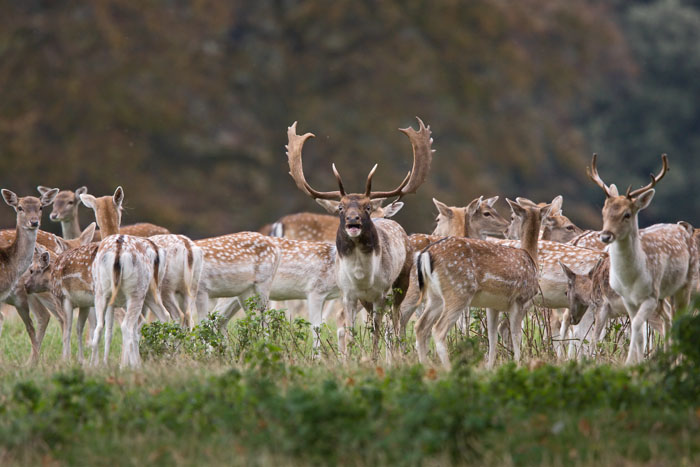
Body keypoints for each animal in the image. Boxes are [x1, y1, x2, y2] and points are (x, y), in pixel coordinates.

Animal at [286, 118, 434, 360]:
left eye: (367, 207)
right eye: (340, 206)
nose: (353, 219)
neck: (361, 276)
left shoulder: (381, 294)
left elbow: (377, 330)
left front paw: (374, 358)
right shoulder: (348, 294)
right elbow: (350, 331)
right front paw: (348, 358)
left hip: (400, 284)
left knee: (395, 322)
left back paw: (395, 353)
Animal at [414, 199, 551, 368]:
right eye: (513, 216)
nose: (507, 229)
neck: (531, 258)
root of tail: (426, 254)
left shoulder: (492, 305)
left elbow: (492, 336)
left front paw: (489, 367)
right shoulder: (520, 299)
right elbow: (516, 335)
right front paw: (517, 364)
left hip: (435, 296)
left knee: (420, 326)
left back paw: (425, 366)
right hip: (458, 291)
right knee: (438, 330)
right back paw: (448, 368)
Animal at [588, 153, 698, 364]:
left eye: (627, 214)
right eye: (603, 211)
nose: (605, 236)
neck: (631, 279)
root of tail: (681, 228)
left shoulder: (650, 296)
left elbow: (638, 325)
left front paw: (631, 362)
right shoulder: (628, 299)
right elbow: (637, 330)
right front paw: (636, 363)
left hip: (684, 285)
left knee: (678, 317)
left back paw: (678, 360)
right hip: (664, 295)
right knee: (668, 318)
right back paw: (669, 357)